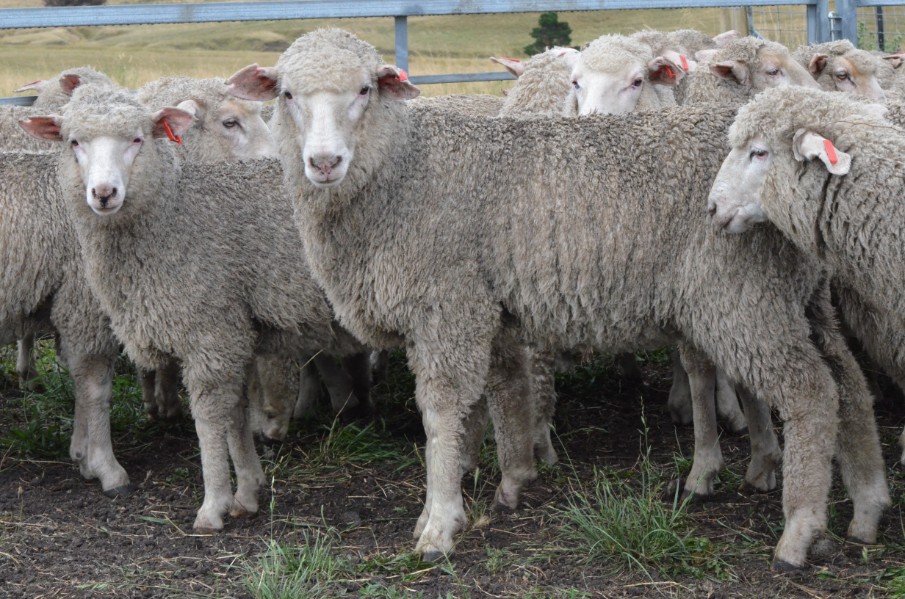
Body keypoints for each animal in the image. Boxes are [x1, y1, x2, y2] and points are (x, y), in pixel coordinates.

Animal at [21, 85, 368, 532]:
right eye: (74, 143)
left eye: (138, 139)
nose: (103, 193)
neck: (175, 213)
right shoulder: (234, 330)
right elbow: (235, 416)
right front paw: (248, 491)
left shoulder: (209, 329)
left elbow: (208, 421)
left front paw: (213, 505)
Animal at [227, 28, 889, 568]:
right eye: (286, 94)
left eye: (365, 89)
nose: (323, 161)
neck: (400, 171)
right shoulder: (486, 308)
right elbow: (497, 396)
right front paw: (509, 479)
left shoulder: (447, 303)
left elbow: (441, 412)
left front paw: (439, 522)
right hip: (798, 296)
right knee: (850, 384)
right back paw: (868, 504)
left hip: (740, 296)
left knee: (810, 394)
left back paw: (799, 529)